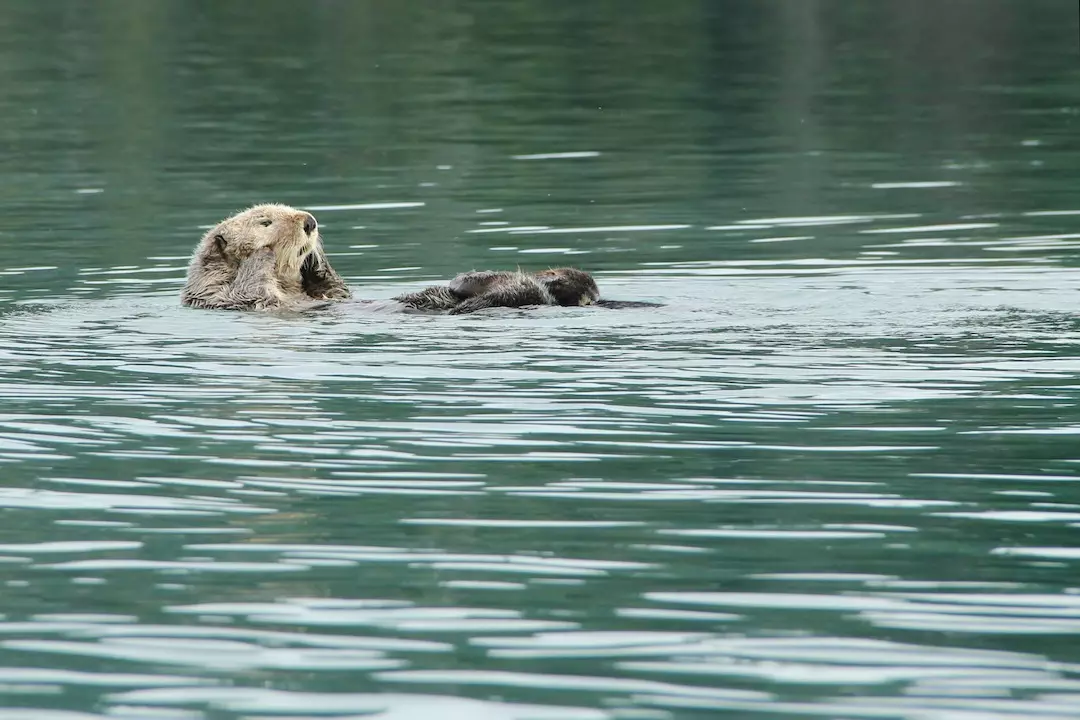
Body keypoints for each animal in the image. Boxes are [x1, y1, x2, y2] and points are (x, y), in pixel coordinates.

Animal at [181, 205, 349, 313]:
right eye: (265, 222)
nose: (310, 222)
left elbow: (339, 291)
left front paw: (315, 258)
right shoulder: (219, 296)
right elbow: (252, 294)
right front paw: (262, 252)